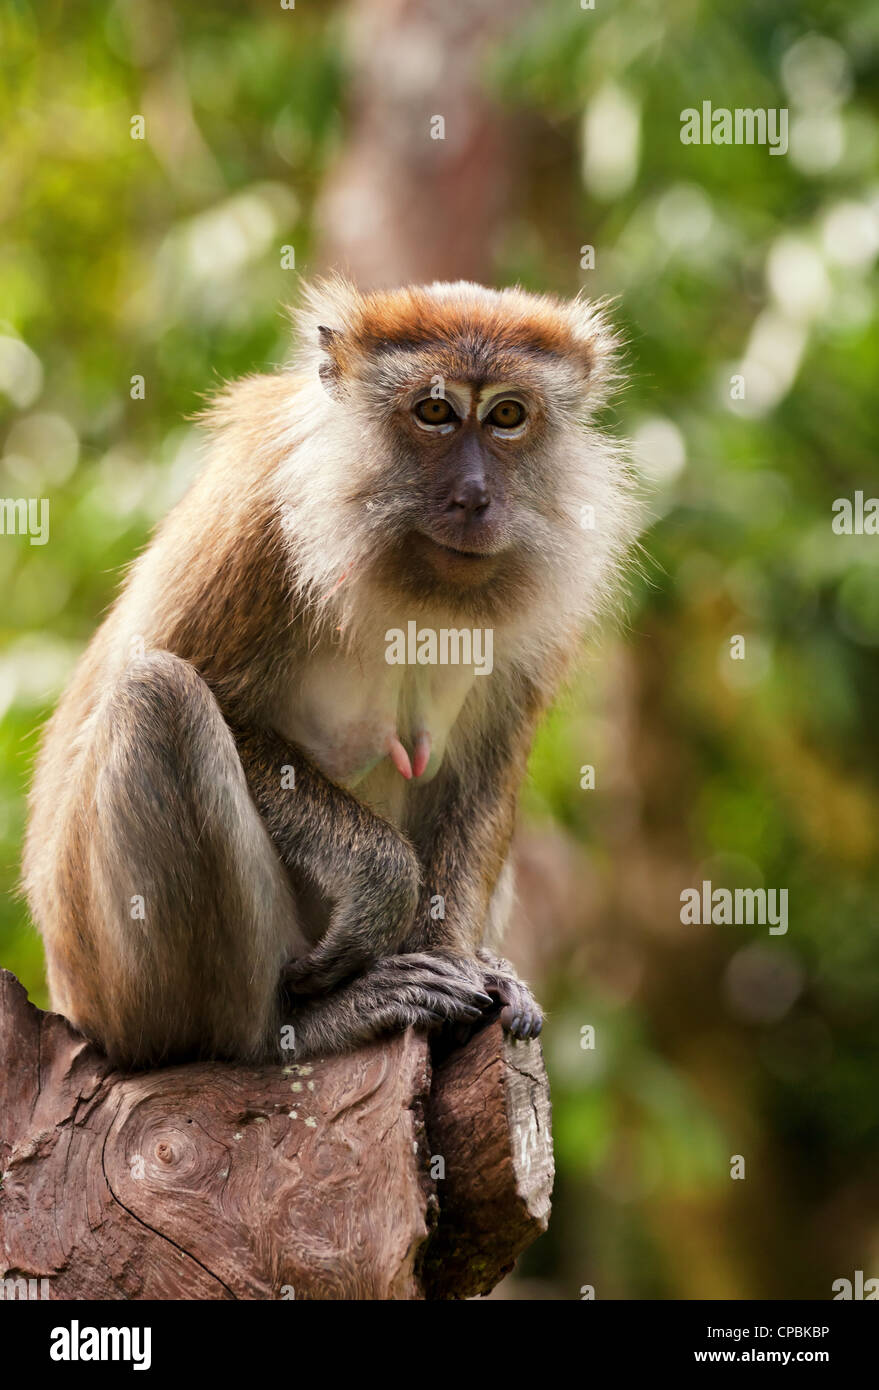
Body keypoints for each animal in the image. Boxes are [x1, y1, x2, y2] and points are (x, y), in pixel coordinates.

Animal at [22, 276, 634, 1068]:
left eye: (506, 416)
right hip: (110, 983)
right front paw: (381, 883)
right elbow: (190, 687)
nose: (475, 496)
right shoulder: (262, 513)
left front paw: (457, 960)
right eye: (434, 411)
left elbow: (484, 767)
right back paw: (288, 1029)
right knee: (158, 697)